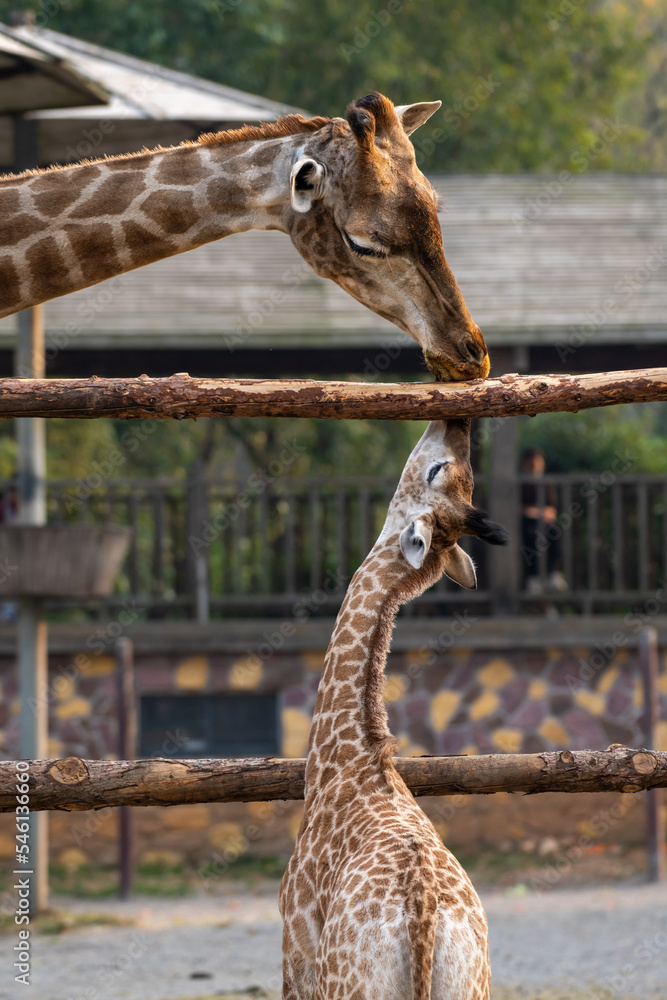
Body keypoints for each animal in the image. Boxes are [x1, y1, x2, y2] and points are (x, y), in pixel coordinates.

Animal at [279, 418, 507, 1000]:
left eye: (432, 469)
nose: (457, 423)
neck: (347, 761)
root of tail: (423, 916)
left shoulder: (295, 950)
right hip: (471, 981)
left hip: (350, 983)